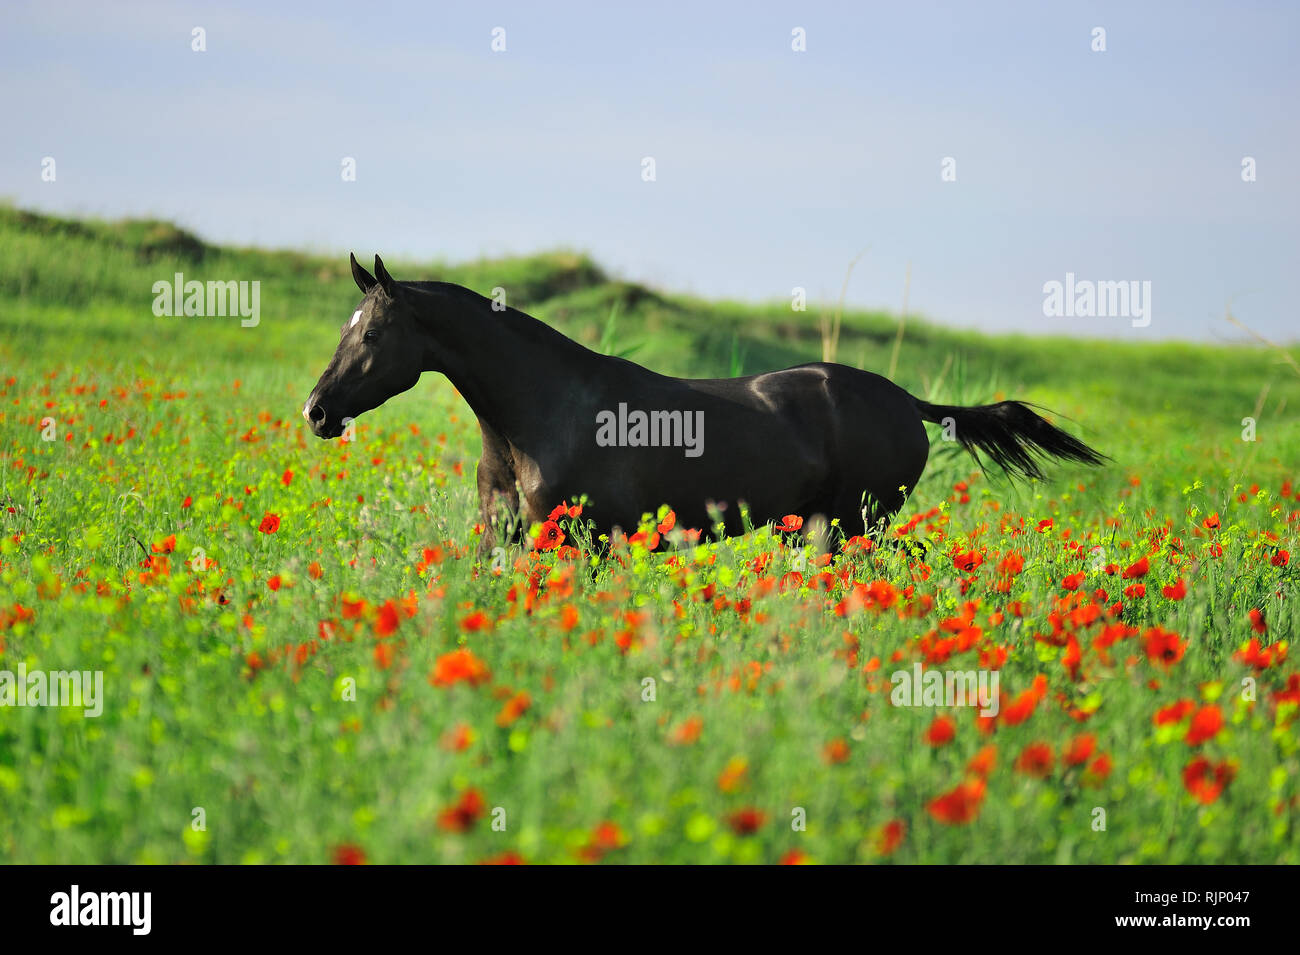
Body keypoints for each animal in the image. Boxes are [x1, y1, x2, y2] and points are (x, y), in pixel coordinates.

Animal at [304, 255, 1105, 557]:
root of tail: (905, 399)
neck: (539, 417)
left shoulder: (585, 541)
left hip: (857, 524)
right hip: (816, 528)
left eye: (372, 333)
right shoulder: (506, 537)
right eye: (344, 327)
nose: (315, 411)